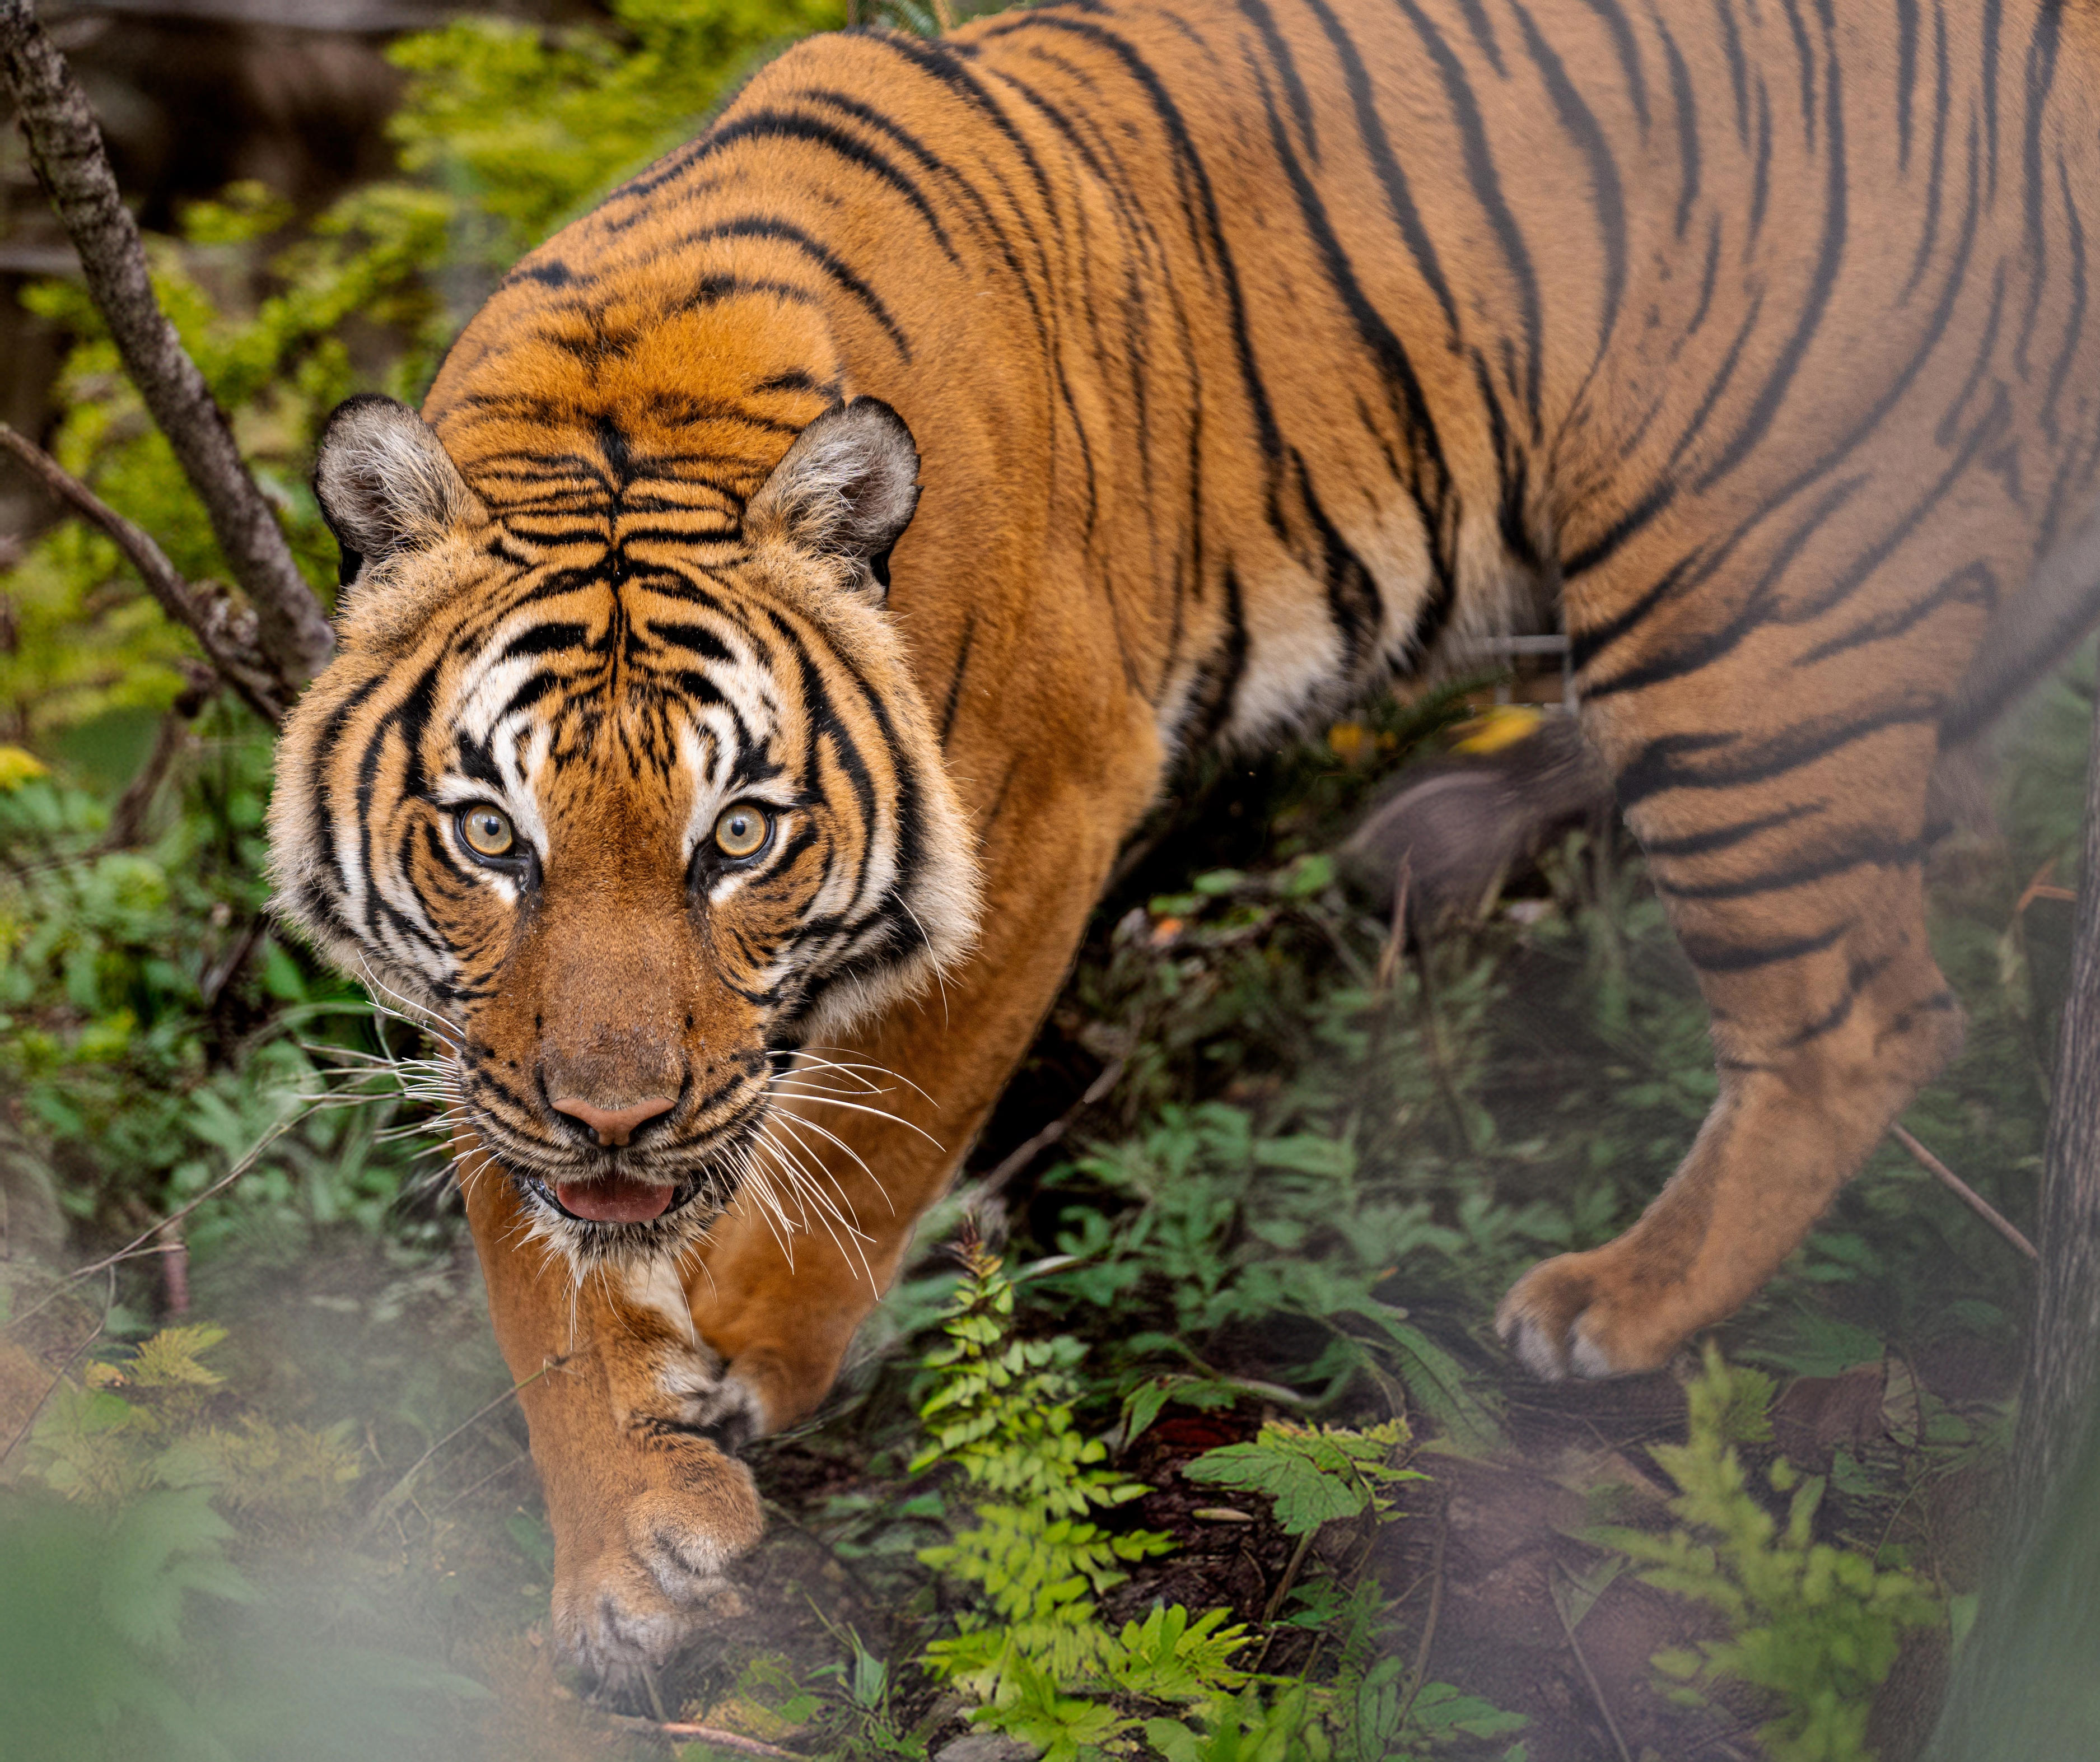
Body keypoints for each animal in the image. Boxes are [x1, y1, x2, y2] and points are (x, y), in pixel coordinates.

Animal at [269, 0, 2100, 1688]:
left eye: (739, 836)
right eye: (490, 835)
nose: (617, 1115)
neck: (632, 398)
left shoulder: (1045, 808)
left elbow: (870, 1148)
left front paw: (731, 1359)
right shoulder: (484, 1030)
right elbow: (535, 1272)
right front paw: (626, 1548)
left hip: (1749, 630)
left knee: (1863, 1010)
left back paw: (1604, 1305)